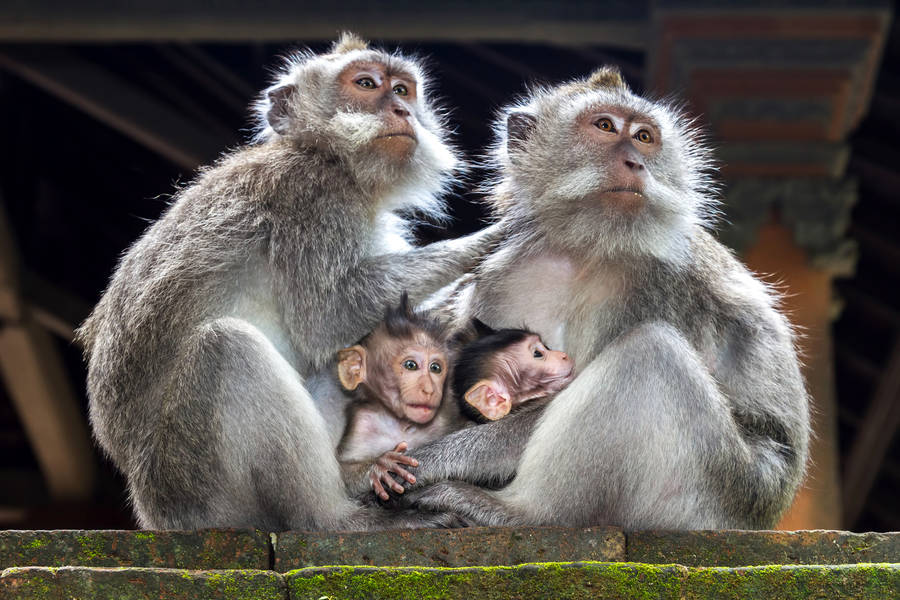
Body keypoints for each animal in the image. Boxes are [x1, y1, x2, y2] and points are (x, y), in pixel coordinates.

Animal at [75, 33, 500, 531]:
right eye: (366, 83)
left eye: (402, 90)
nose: (402, 111)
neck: (326, 155)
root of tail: (150, 509)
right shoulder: (313, 200)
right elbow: (328, 316)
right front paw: (493, 238)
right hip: (196, 483)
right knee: (228, 349)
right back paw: (338, 519)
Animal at [383, 66, 811, 531]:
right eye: (605, 126)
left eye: (644, 137)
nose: (636, 162)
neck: (587, 250)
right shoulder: (505, 275)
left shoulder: (655, 283)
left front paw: (430, 461)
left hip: (710, 494)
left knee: (650, 352)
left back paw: (518, 512)